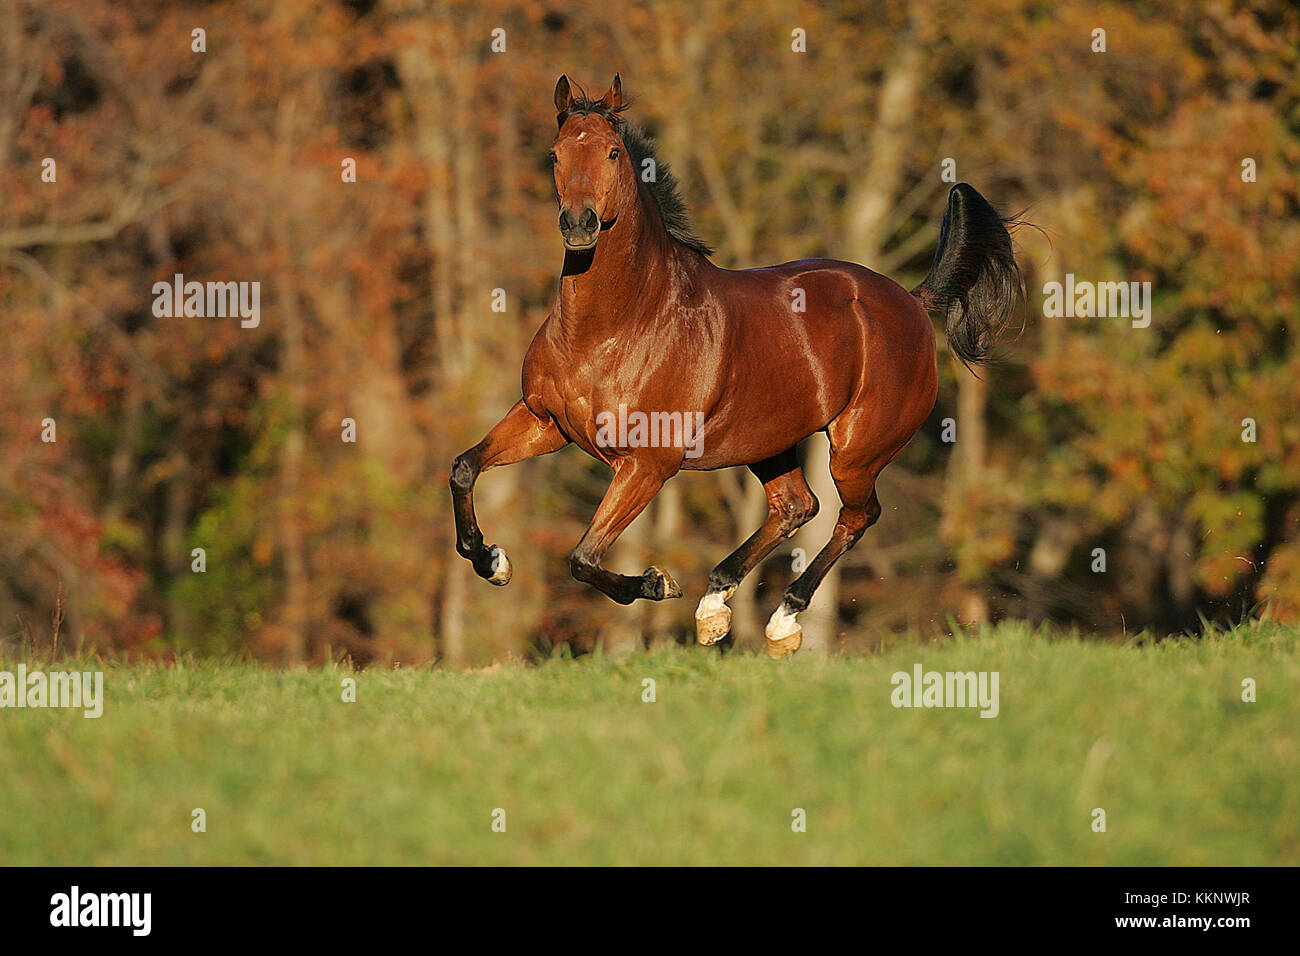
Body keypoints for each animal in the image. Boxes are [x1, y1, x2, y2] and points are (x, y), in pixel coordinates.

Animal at [451, 74, 1023, 658]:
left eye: (612, 152)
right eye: (555, 154)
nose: (580, 225)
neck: (614, 327)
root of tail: (910, 299)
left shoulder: (647, 464)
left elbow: (583, 558)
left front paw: (657, 583)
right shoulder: (545, 422)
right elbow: (464, 468)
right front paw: (493, 560)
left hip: (856, 450)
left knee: (856, 515)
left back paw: (782, 621)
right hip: (769, 442)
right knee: (796, 506)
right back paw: (715, 606)